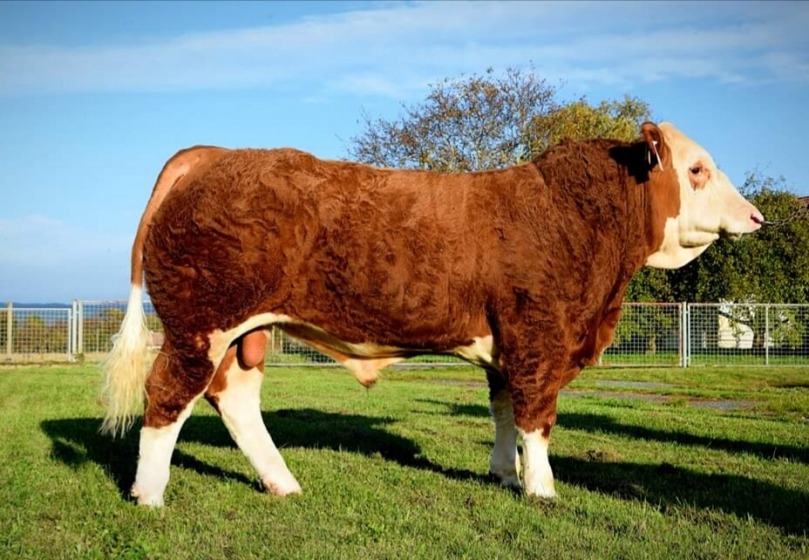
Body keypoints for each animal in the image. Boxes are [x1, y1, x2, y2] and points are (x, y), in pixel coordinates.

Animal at [101, 122, 763, 506]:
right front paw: (542, 490)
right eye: (698, 168)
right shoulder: (539, 339)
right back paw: (150, 495)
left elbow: (503, 411)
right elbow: (538, 418)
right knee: (168, 396)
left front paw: (503, 476)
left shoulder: (508, 344)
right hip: (199, 325)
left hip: (246, 334)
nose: (756, 216)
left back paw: (282, 483)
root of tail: (211, 154)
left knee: (234, 399)